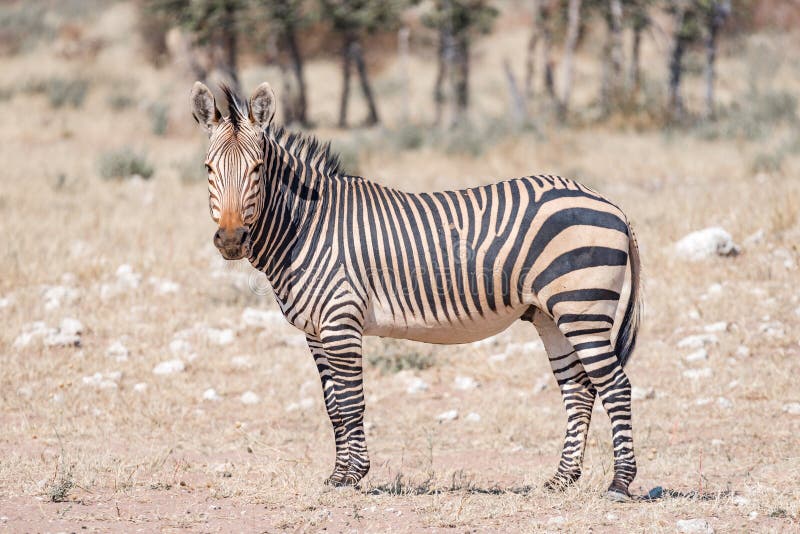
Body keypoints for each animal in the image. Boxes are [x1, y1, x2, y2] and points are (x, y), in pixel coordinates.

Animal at [190, 81, 643, 502]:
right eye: (209, 169)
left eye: (257, 169)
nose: (231, 240)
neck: (305, 225)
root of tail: (610, 204)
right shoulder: (315, 332)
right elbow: (333, 405)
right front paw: (336, 475)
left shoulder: (340, 322)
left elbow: (351, 401)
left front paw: (353, 476)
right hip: (552, 316)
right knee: (578, 390)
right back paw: (560, 480)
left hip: (582, 309)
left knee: (615, 386)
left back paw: (620, 483)